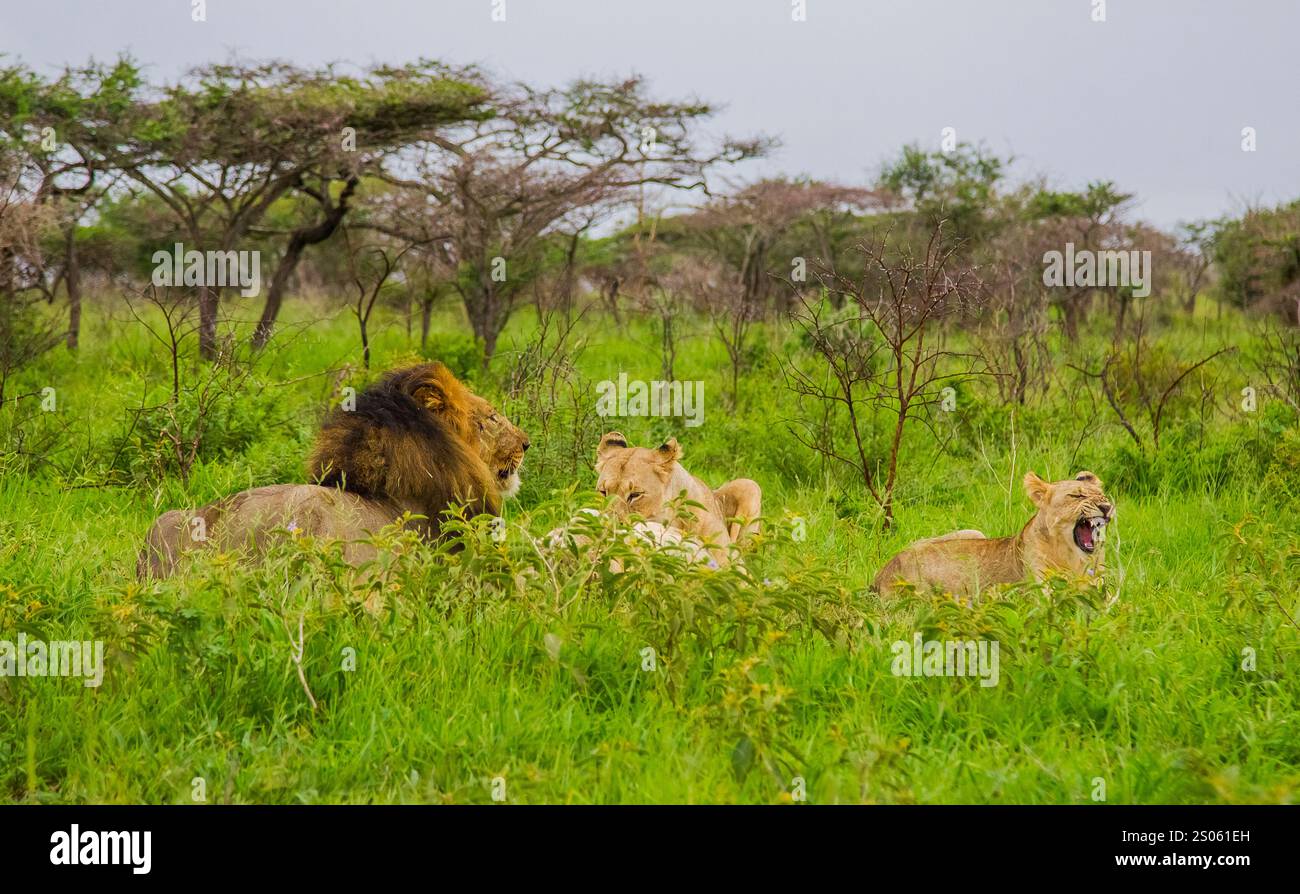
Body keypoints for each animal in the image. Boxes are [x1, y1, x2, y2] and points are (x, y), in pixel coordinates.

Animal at [872, 471, 1115, 598]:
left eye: (1102, 495)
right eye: (1076, 495)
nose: (1106, 507)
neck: (1071, 558)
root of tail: (881, 574)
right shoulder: (1038, 595)